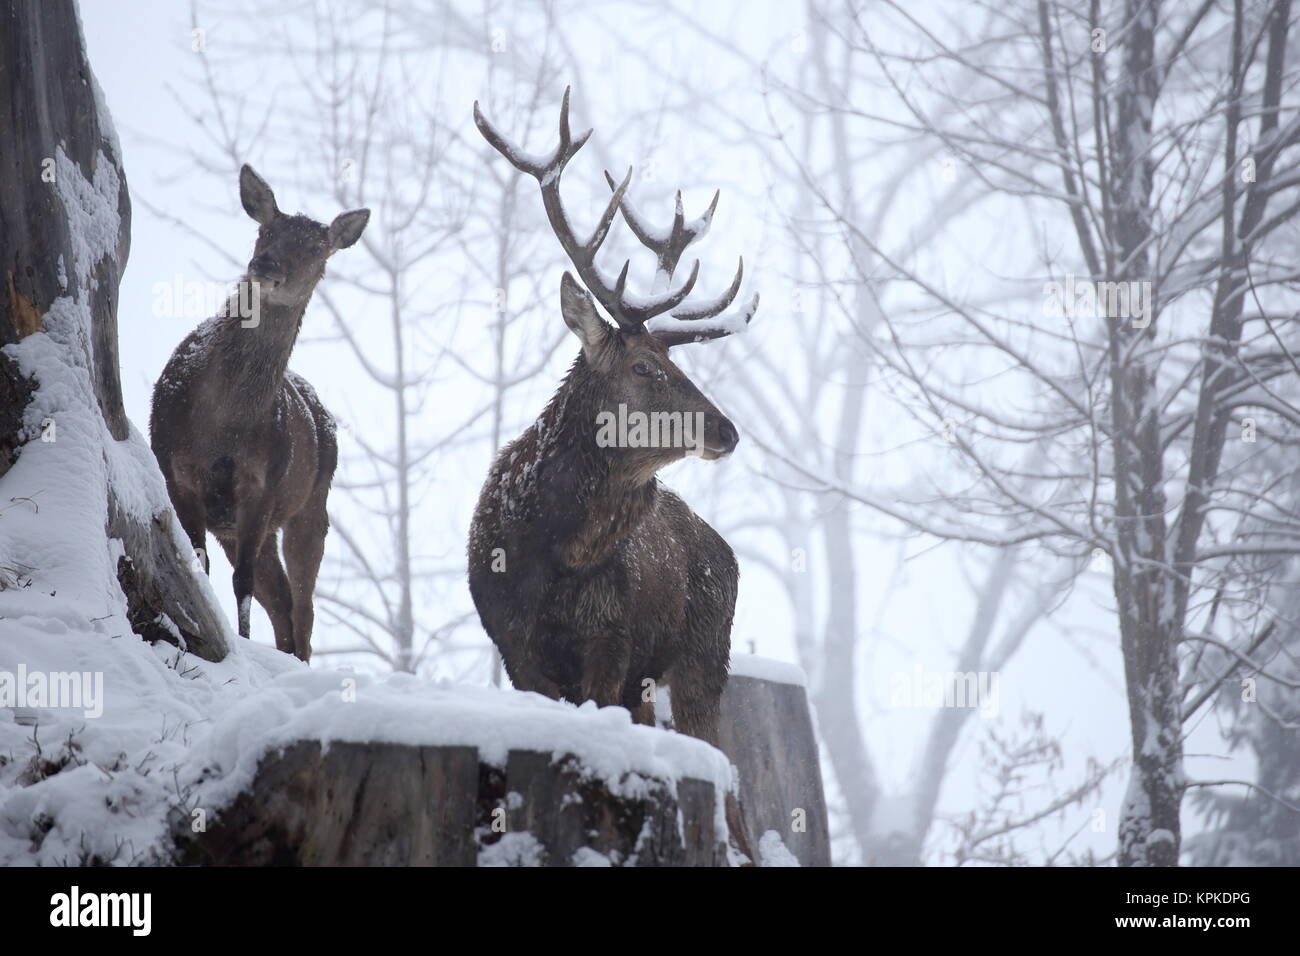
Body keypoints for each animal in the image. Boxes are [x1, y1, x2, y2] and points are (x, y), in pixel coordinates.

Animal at [150, 165, 369, 662]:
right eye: (265, 230)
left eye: (315, 247)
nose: (265, 266)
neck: (222, 423)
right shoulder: (177, 472)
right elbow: (201, 567)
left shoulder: (262, 484)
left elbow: (243, 583)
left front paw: (240, 646)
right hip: (245, 524)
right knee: (282, 601)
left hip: (312, 504)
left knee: (302, 606)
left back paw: (298, 658)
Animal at [468, 89, 759, 751]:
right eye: (647, 366)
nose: (727, 430)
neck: (548, 555)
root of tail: (726, 551)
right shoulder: (512, 646)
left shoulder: (613, 641)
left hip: (705, 657)